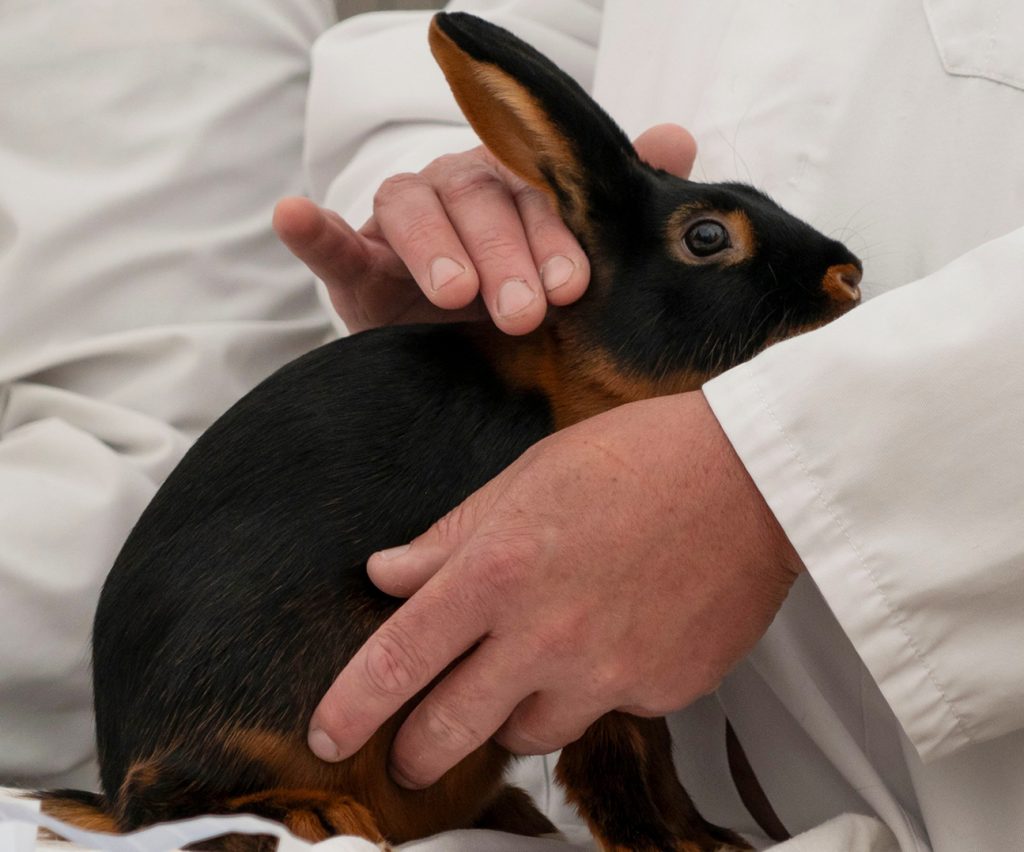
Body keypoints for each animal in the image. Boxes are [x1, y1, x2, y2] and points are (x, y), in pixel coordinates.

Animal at [40, 11, 862, 852]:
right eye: (706, 238)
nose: (847, 274)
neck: (585, 384)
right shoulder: (572, 669)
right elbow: (626, 757)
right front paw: (668, 845)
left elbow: (657, 757)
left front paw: (711, 837)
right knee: (165, 803)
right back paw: (315, 814)